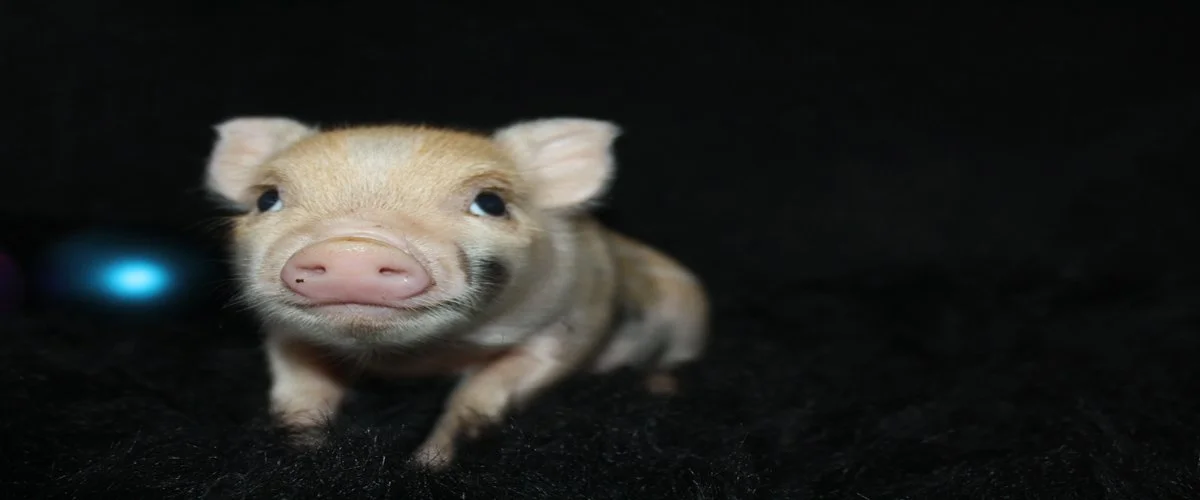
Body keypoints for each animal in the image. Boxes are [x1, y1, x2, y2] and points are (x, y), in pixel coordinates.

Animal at [202, 115, 709, 469]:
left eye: (491, 203)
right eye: (267, 199)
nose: (354, 248)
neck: (412, 363)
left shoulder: (568, 328)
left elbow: (477, 400)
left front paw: (427, 466)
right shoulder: (283, 334)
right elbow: (300, 397)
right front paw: (305, 454)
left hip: (691, 320)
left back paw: (660, 389)